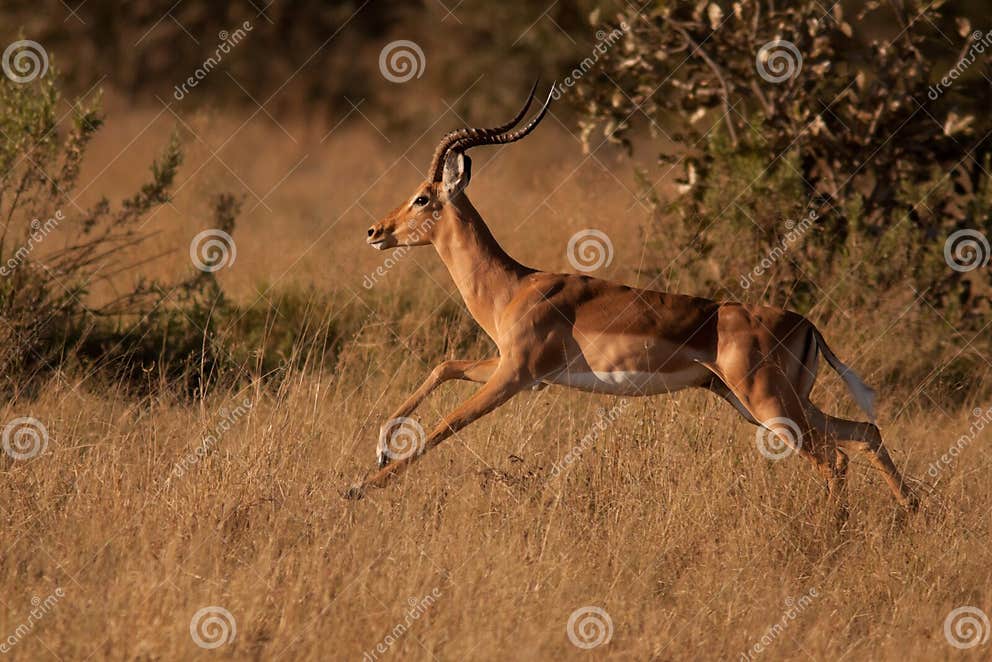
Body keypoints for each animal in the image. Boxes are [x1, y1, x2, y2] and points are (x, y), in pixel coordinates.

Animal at [348, 82, 917, 513]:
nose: (374, 231)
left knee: (834, 458)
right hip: (764, 403)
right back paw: (909, 512)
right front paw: (377, 452)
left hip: (769, 403)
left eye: (423, 197)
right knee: (864, 432)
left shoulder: (515, 375)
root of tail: (805, 324)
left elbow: (448, 423)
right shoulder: (518, 370)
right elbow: (443, 365)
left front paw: (357, 487)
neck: (513, 286)